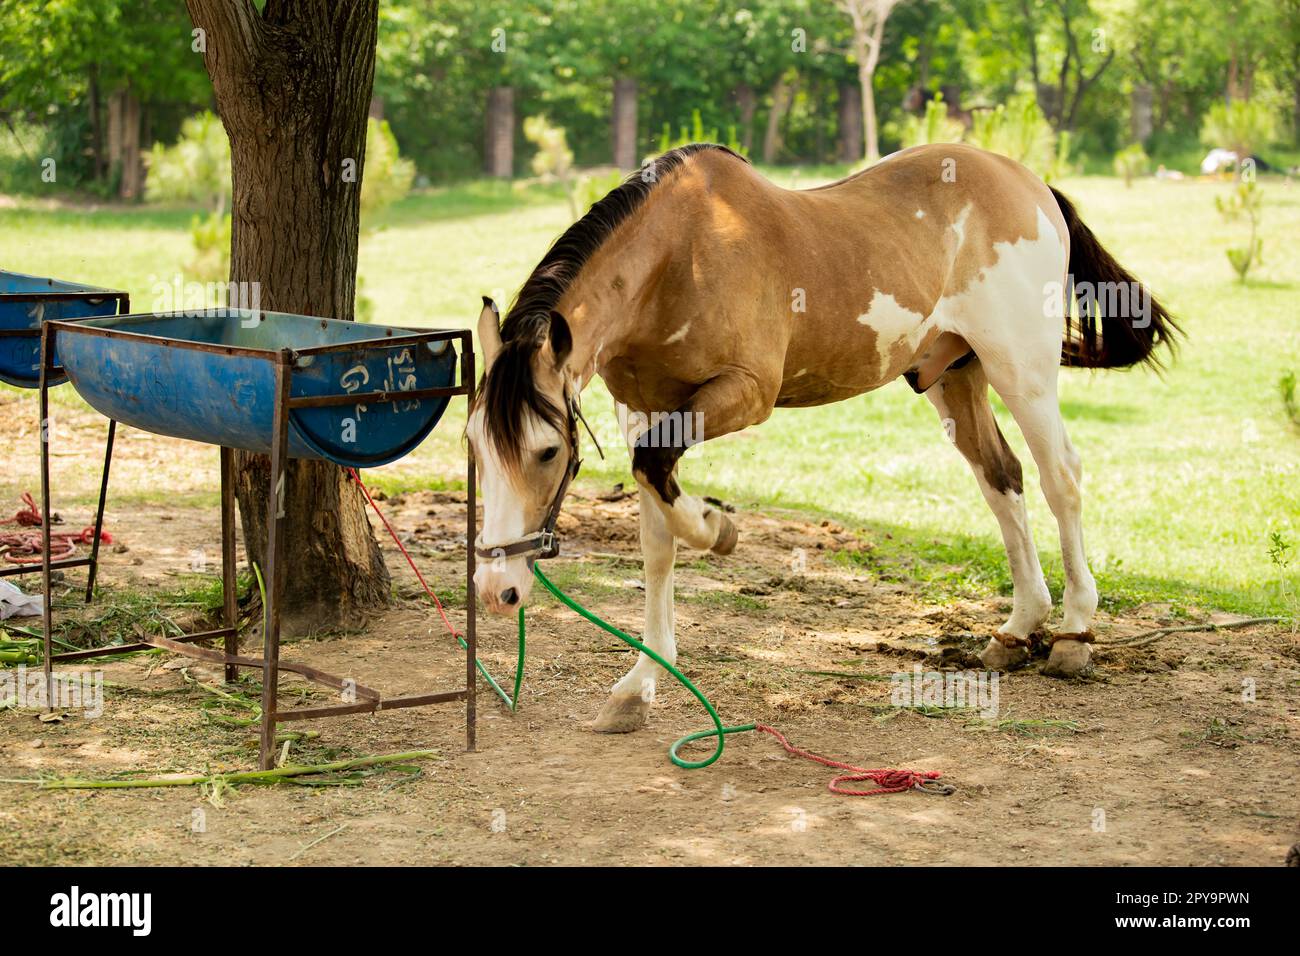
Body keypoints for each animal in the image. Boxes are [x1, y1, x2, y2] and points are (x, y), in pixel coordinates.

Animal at [466, 142, 1177, 733]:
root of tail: (1028, 182)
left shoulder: (744, 393)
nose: (497, 591)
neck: (678, 255)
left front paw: (716, 528)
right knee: (1002, 479)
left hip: (1020, 368)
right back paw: (1018, 628)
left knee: (1062, 478)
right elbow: (655, 538)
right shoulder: (641, 408)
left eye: (548, 451)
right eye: (475, 446)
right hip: (957, 374)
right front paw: (639, 685)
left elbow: (659, 479)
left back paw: (1074, 633)